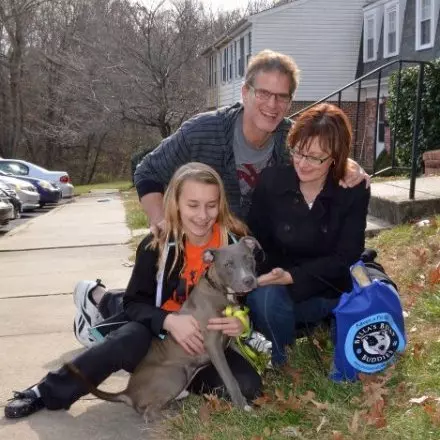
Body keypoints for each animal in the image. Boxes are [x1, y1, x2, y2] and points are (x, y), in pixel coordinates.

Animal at [66, 237, 260, 422]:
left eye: (249, 259)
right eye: (228, 264)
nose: (249, 281)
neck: (220, 291)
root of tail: (128, 392)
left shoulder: (230, 339)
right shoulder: (213, 346)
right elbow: (230, 378)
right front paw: (243, 407)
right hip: (176, 374)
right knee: (148, 413)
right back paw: (178, 416)